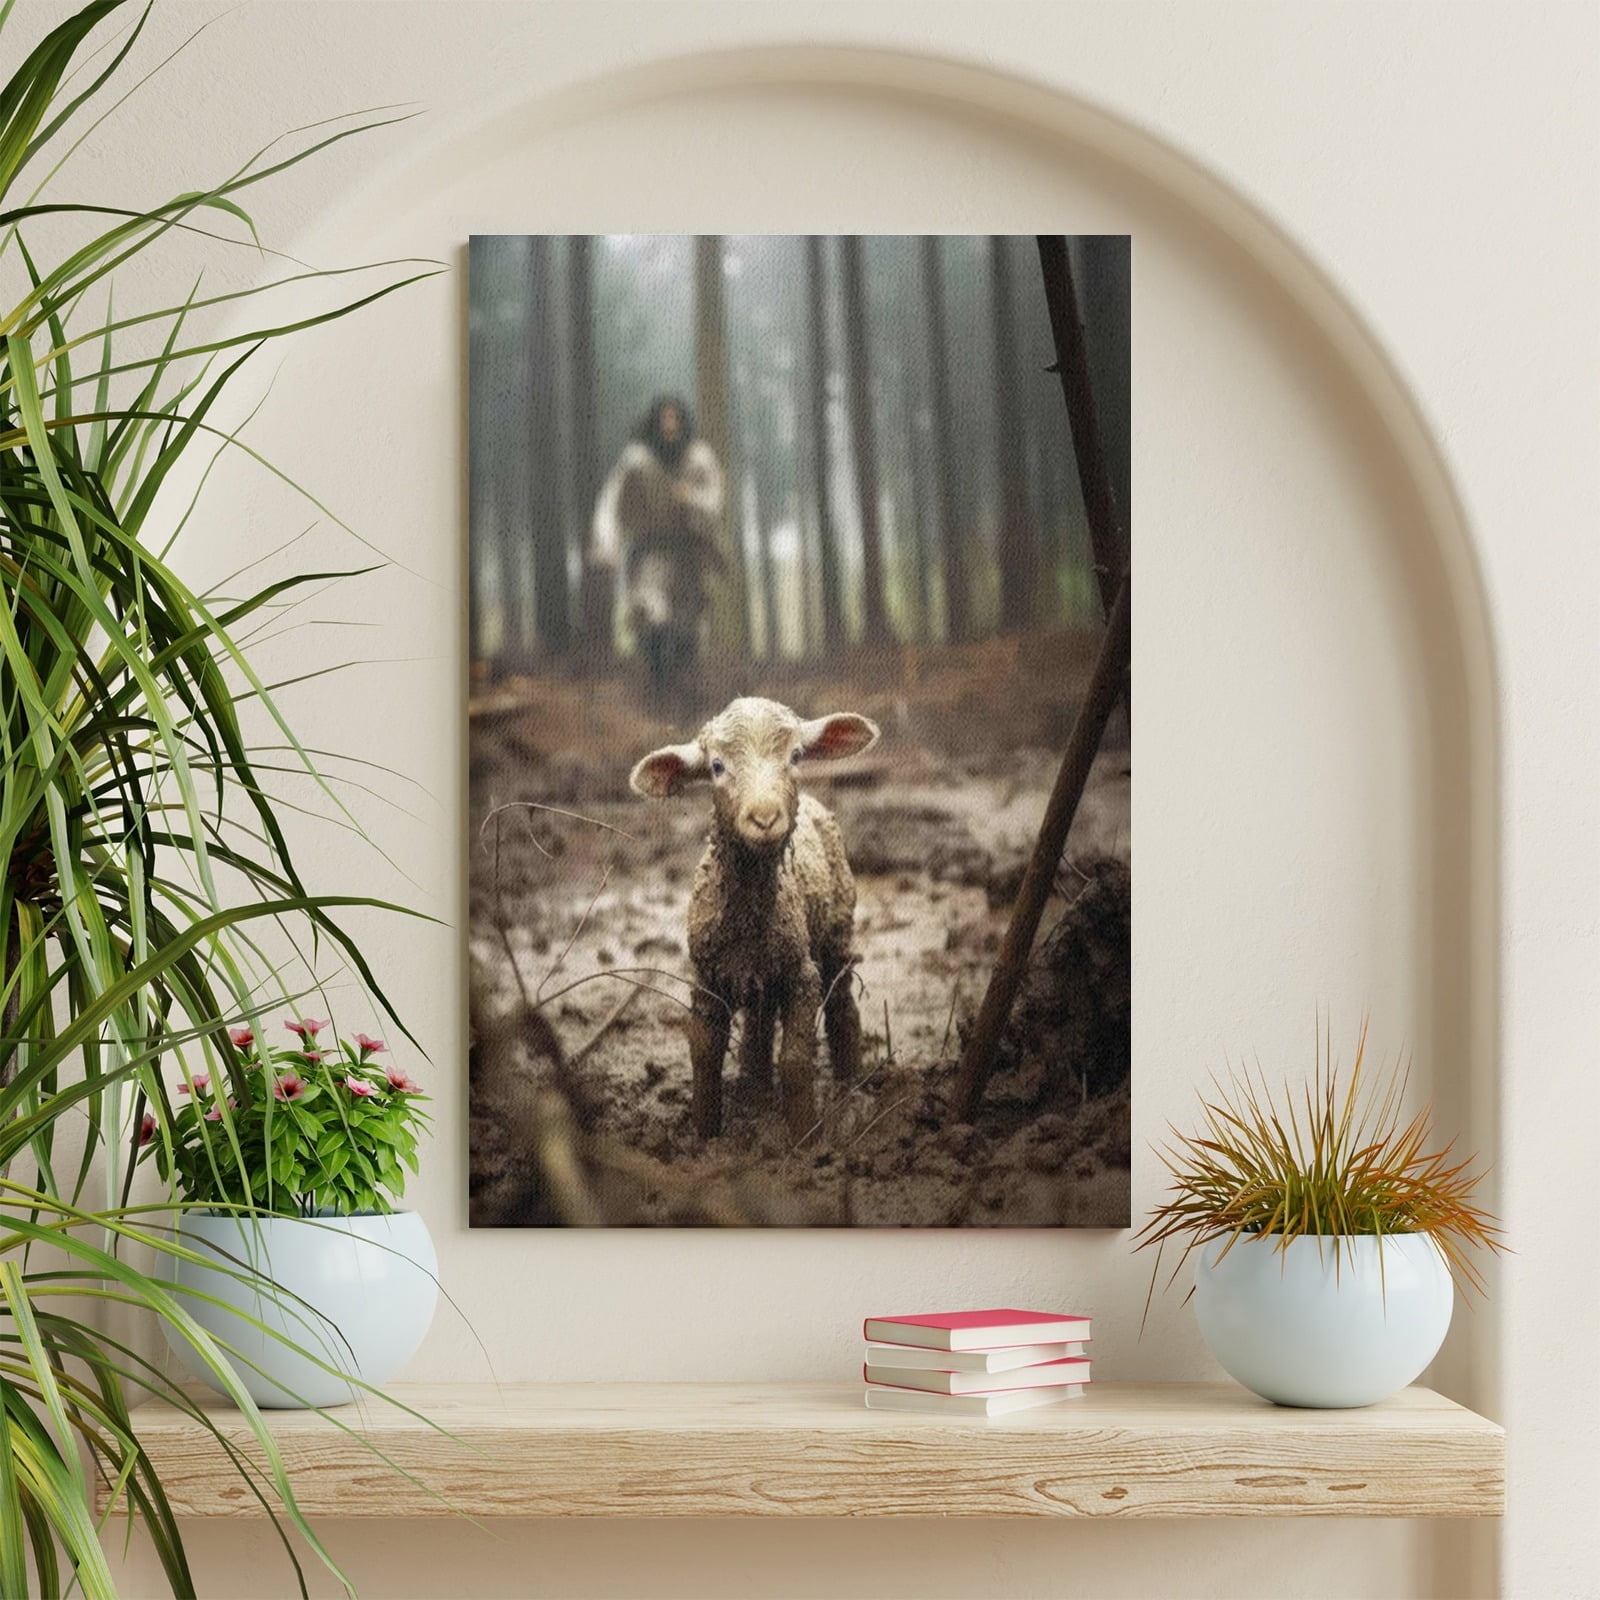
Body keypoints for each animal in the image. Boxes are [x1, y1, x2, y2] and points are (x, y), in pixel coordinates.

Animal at [630, 696, 879, 1142]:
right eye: (716, 766)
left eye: (795, 756)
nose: (764, 818)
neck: (748, 919)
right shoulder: (707, 978)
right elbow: (704, 1056)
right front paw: (705, 1135)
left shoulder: (801, 974)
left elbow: (795, 1060)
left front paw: (806, 1139)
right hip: (760, 972)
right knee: (759, 1021)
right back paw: (753, 1086)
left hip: (837, 929)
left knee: (842, 1003)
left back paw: (851, 1084)